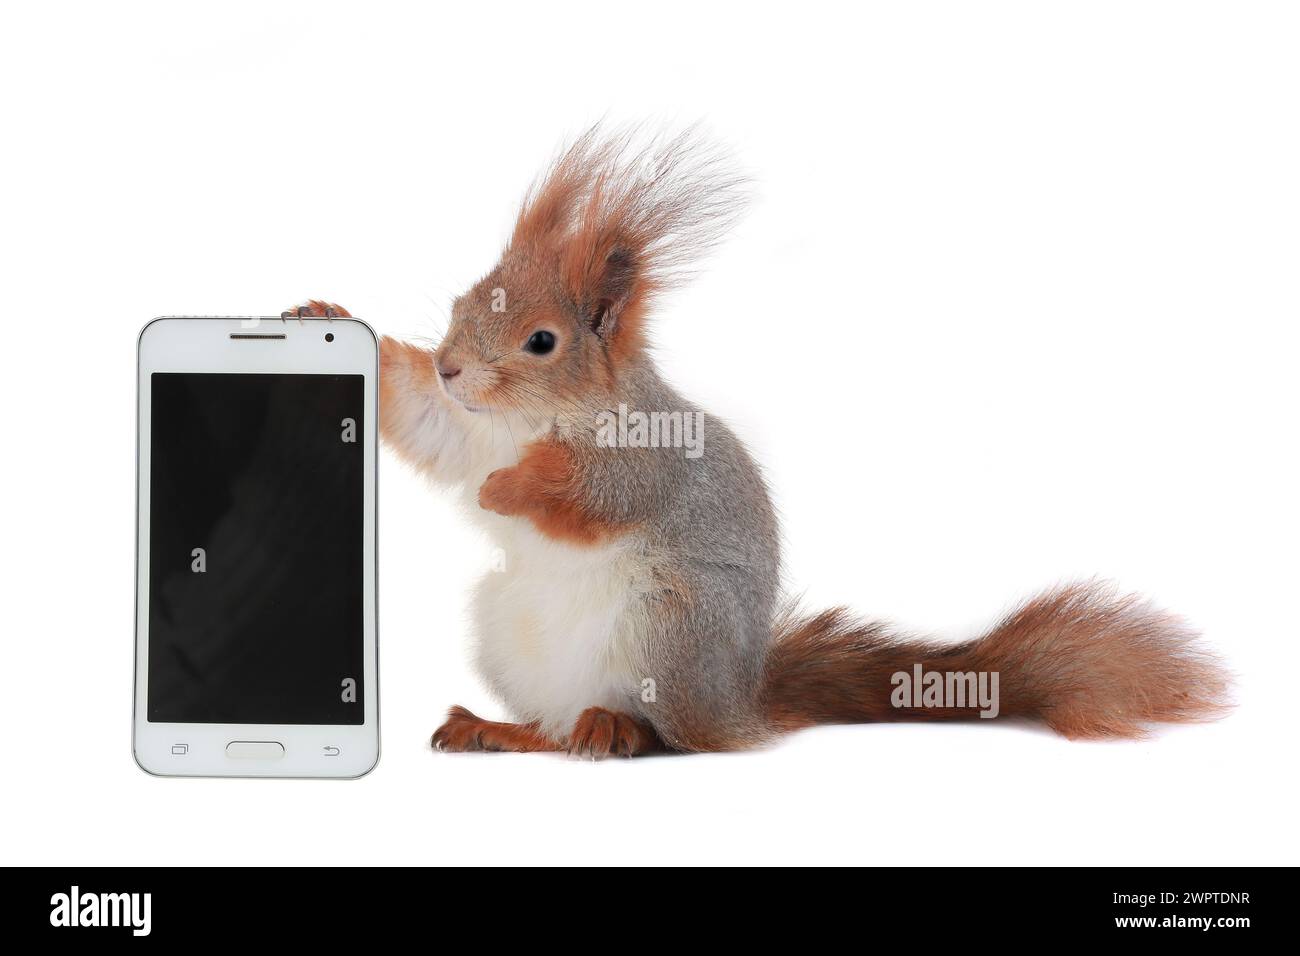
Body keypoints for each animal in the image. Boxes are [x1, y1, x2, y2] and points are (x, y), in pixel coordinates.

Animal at [292, 127, 1229, 758]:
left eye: (542, 342)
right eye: (463, 301)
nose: (452, 366)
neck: (526, 422)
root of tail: (742, 700)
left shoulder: (645, 458)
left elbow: (598, 495)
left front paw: (510, 489)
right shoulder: (464, 427)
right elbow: (422, 417)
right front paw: (326, 317)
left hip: (671, 629)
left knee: (674, 738)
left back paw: (615, 728)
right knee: (555, 729)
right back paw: (503, 729)